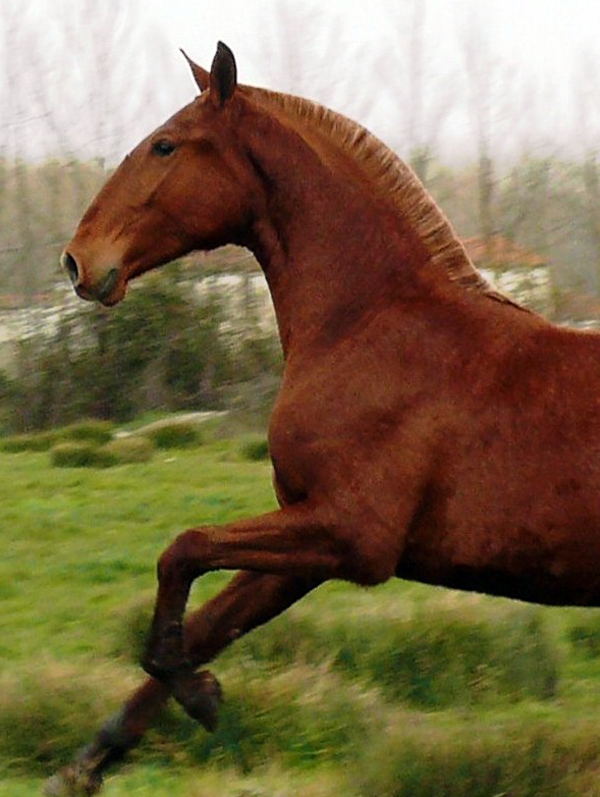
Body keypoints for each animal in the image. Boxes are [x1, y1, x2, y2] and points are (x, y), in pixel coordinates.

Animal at [46, 42, 600, 796]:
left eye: (165, 144)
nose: (79, 260)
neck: (367, 328)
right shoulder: (305, 539)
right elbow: (208, 621)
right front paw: (88, 762)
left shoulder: (350, 534)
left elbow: (182, 551)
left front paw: (200, 697)